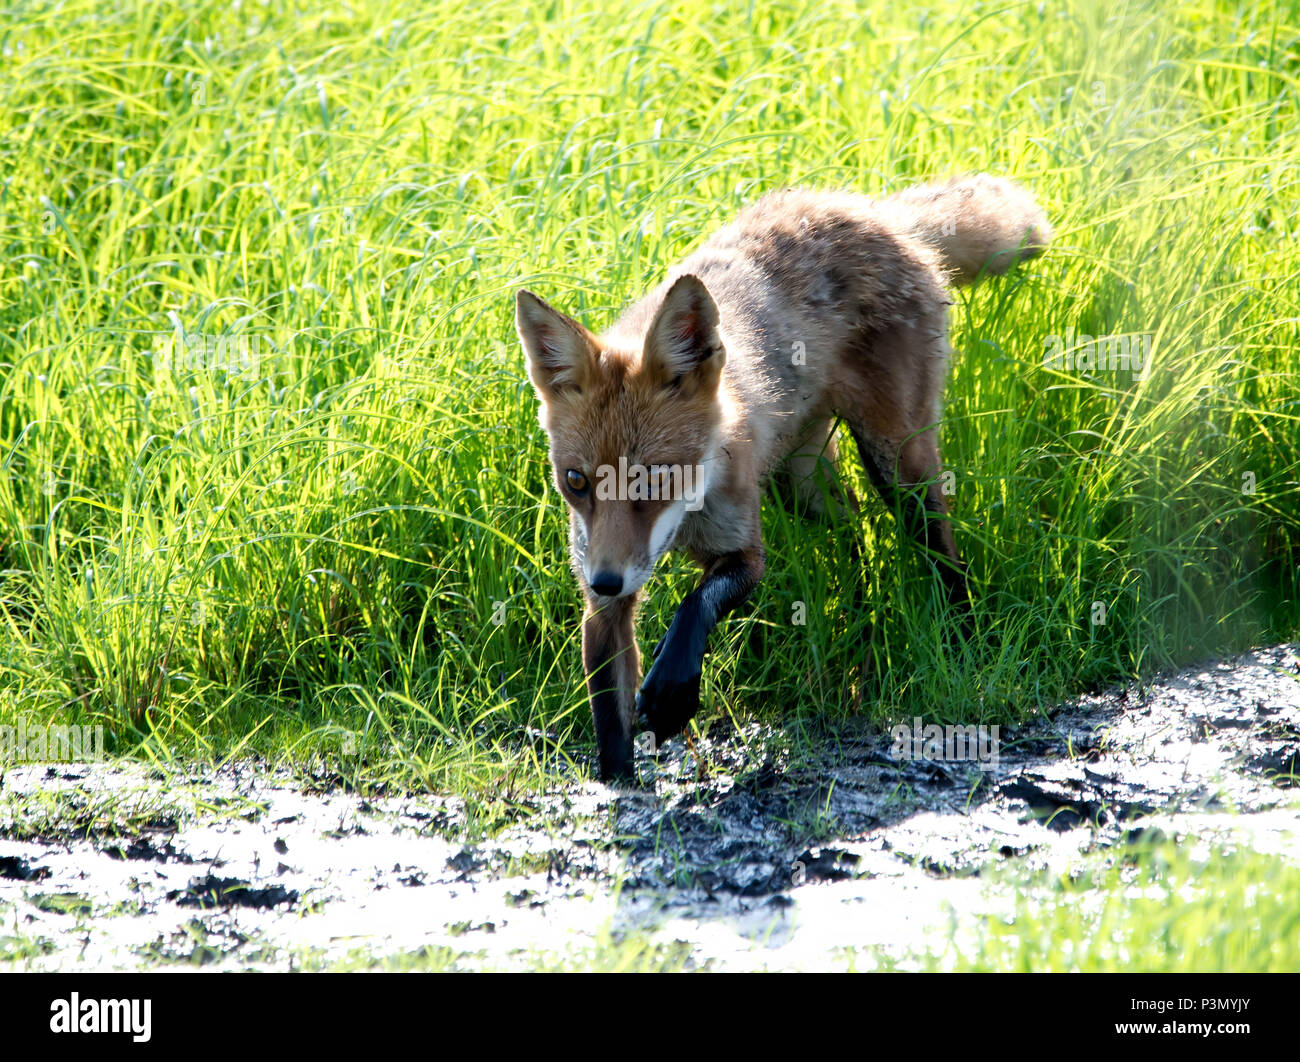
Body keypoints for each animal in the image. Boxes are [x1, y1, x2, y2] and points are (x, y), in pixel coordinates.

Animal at [515, 174, 1051, 781]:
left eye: (655, 479)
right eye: (576, 481)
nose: (607, 579)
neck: (688, 521)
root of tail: (867, 207)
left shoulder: (745, 552)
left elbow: (695, 604)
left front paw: (674, 692)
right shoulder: (602, 598)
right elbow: (611, 724)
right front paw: (619, 786)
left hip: (896, 463)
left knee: (939, 550)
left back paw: (962, 637)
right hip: (800, 486)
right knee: (854, 529)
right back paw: (858, 620)